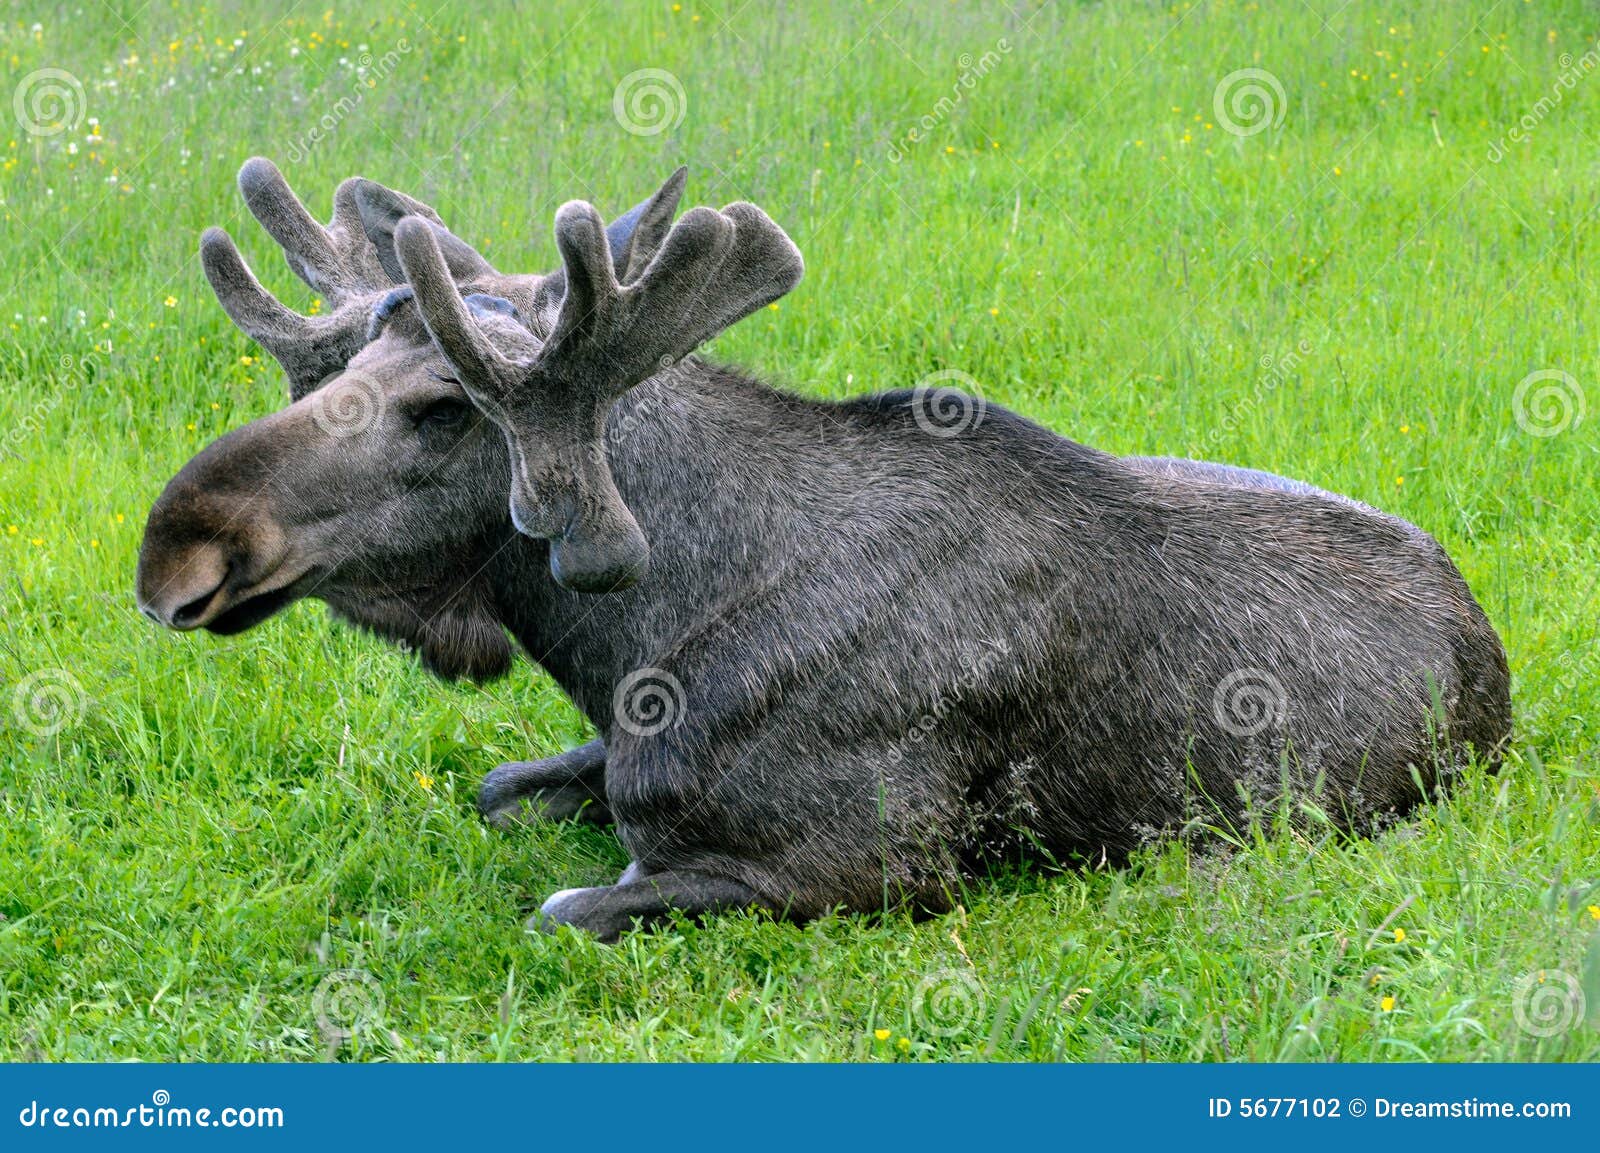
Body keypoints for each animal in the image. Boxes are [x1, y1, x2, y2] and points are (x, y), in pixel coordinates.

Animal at [137, 160, 1511, 942]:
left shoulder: (867, 868)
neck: (634, 640)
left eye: (441, 407)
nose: (175, 548)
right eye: (345, 365)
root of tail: (1488, 655)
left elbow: (563, 905)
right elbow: (496, 789)